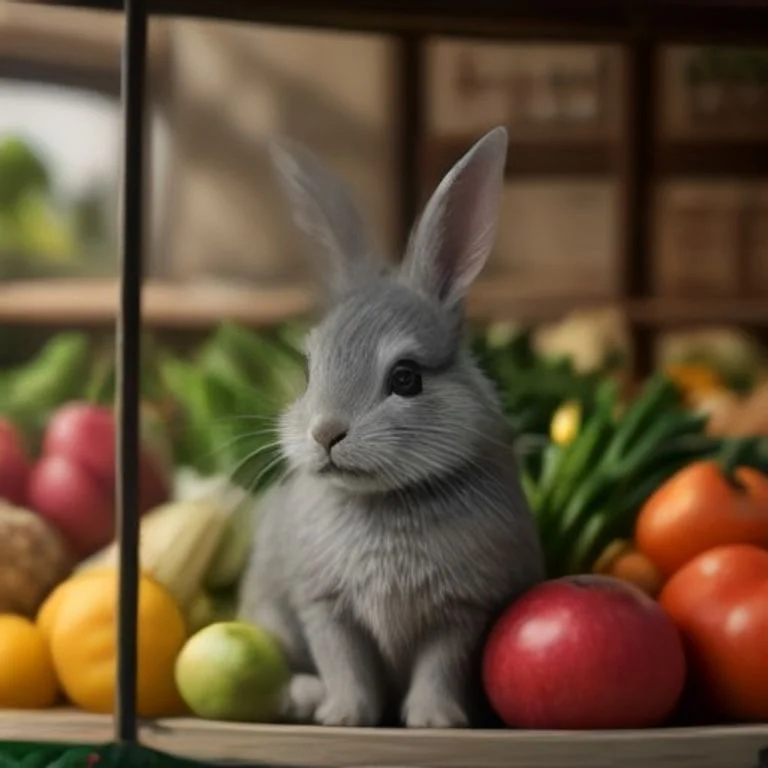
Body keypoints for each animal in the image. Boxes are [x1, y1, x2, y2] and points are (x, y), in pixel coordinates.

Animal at [237, 126, 545, 729]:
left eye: (406, 378)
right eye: (308, 370)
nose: (326, 432)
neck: (383, 499)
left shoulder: (462, 613)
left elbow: (438, 667)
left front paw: (433, 721)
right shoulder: (324, 608)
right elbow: (346, 664)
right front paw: (345, 717)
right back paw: (303, 699)